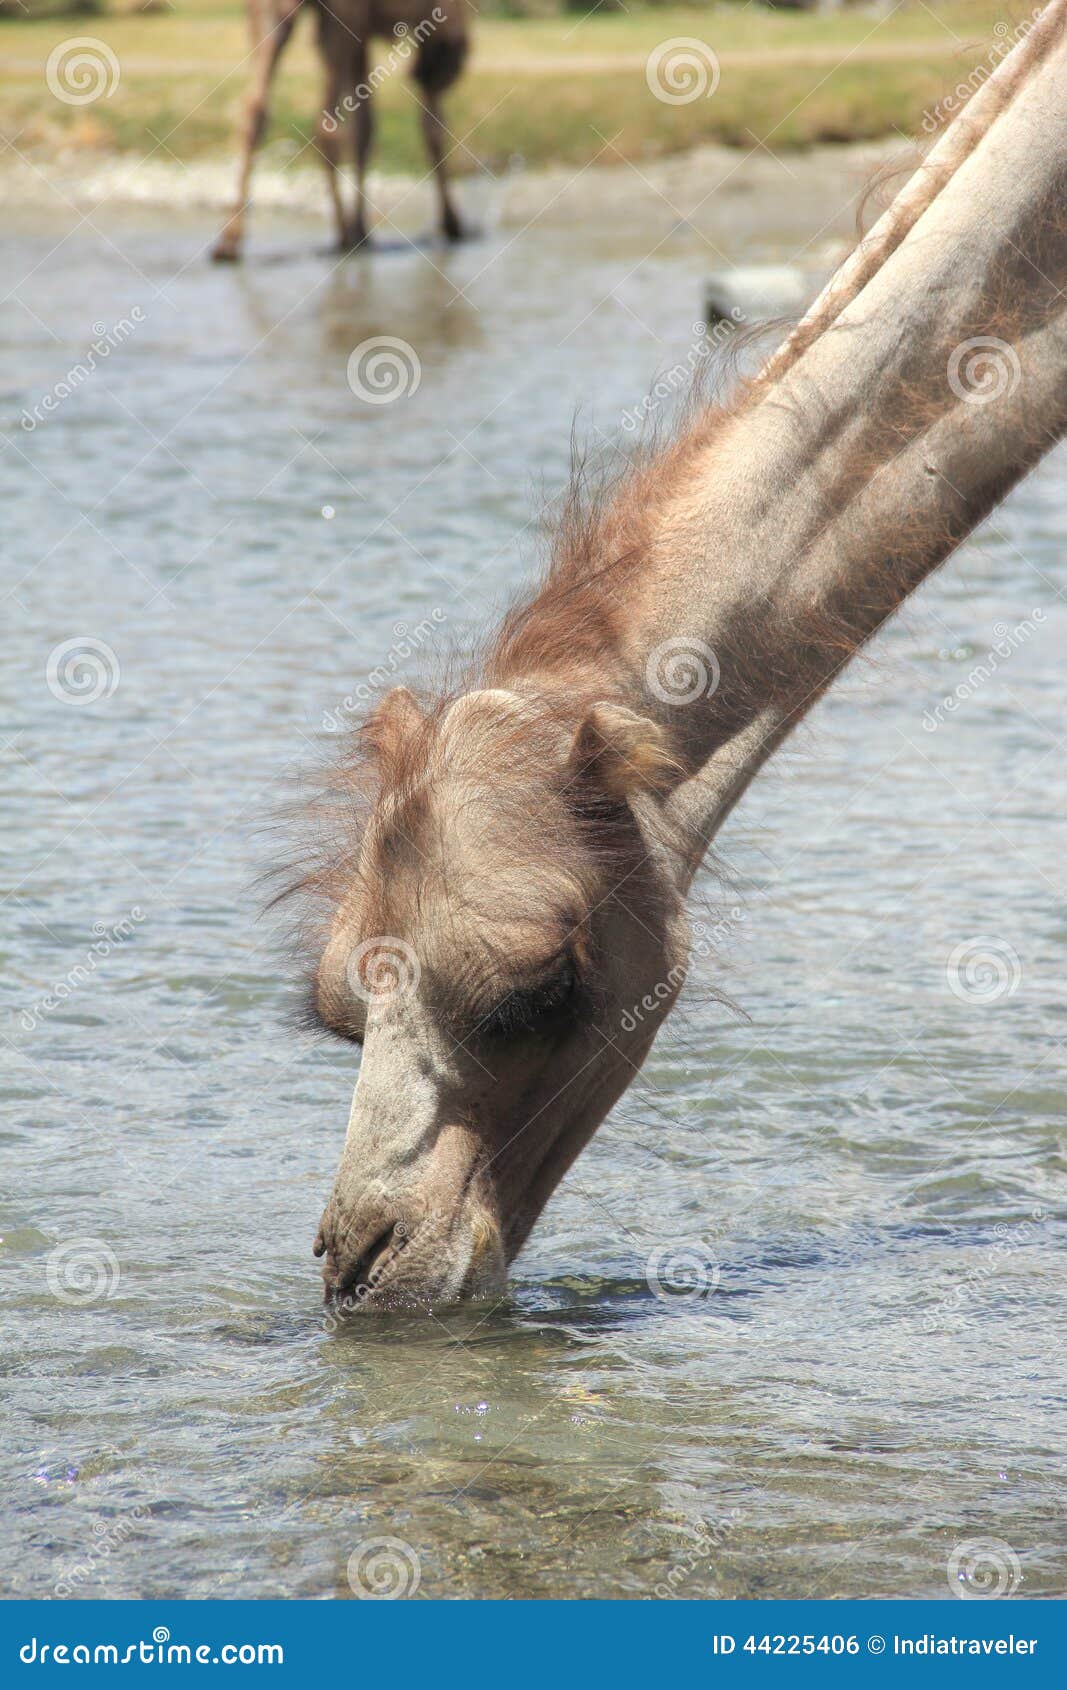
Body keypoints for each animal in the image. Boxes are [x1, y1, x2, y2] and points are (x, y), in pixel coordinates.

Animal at [212, 0, 470, 261]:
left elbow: (365, 126)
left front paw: (362, 228)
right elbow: (429, 127)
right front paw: (452, 223)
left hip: (274, 12)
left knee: (254, 109)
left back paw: (228, 241)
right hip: (340, 18)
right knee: (325, 123)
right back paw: (344, 233)